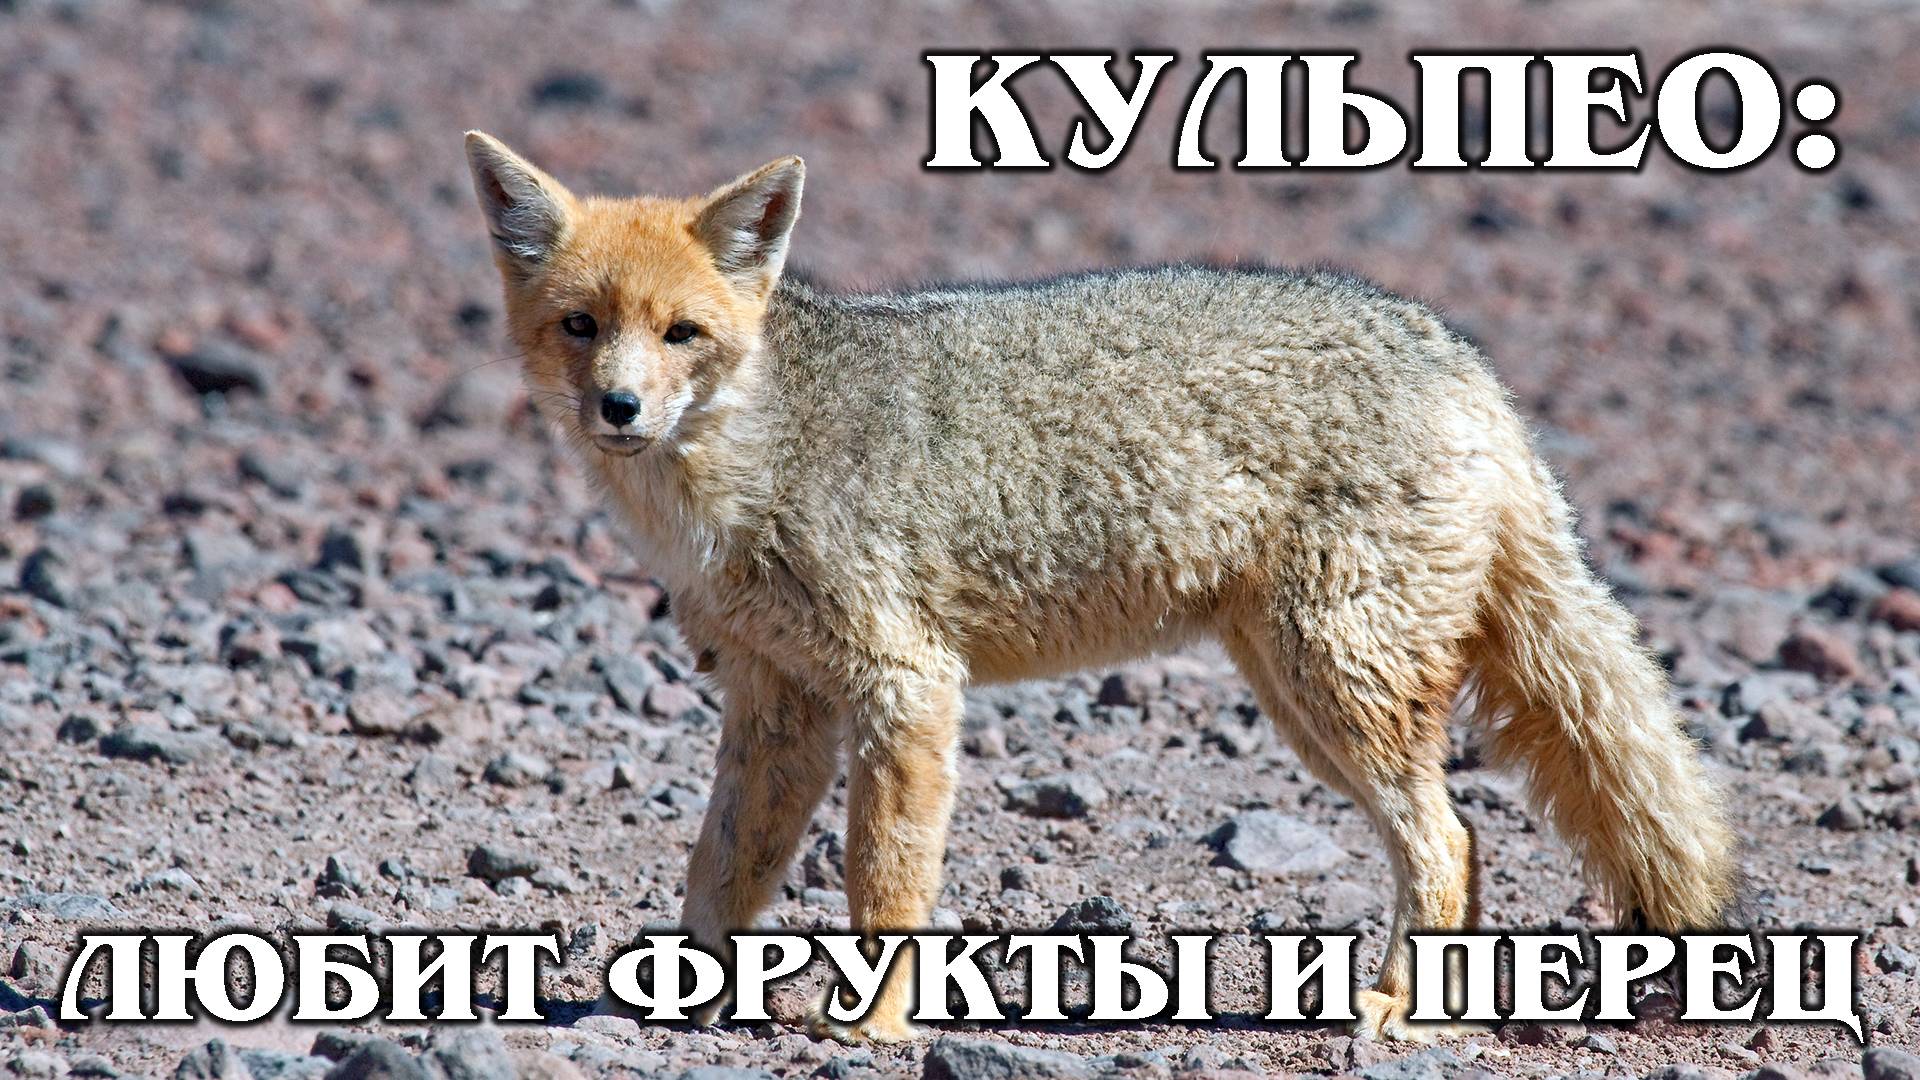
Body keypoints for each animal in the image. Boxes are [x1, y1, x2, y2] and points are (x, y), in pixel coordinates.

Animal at [462, 130, 1739, 1043]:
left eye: (682, 333)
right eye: (580, 326)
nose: (620, 407)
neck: (742, 466)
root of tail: (1457, 352)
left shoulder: (907, 688)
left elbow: (884, 876)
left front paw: (874, 1024)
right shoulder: (779, 702)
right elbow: (719, 867)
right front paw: (666, 997)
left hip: (1339, 687)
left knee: (1450, 839)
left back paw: (1401, 1010)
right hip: (1302, 695)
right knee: (1463, 837)